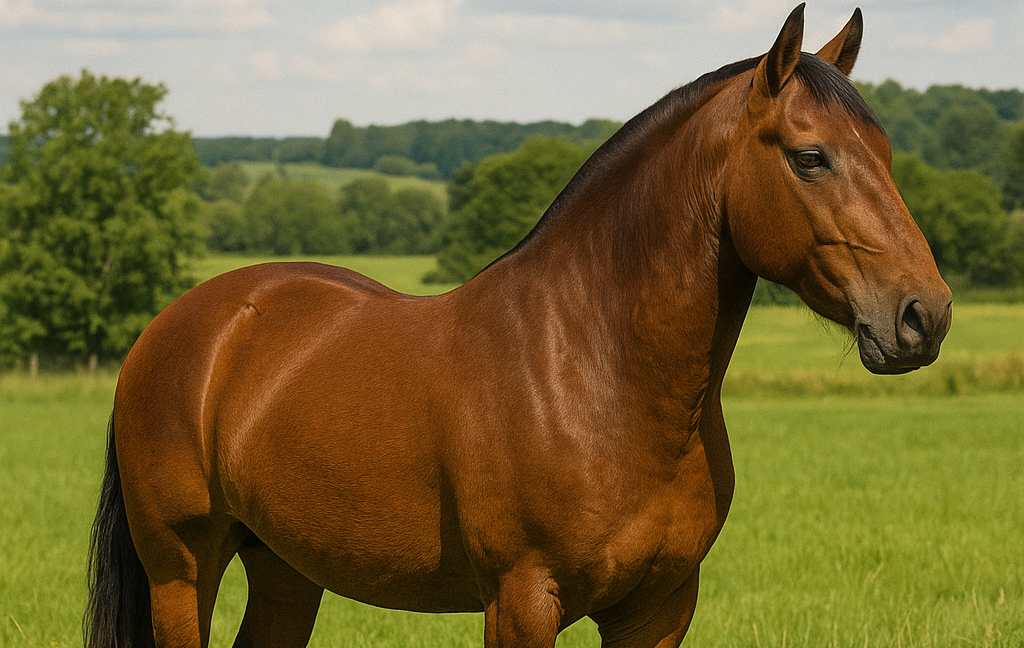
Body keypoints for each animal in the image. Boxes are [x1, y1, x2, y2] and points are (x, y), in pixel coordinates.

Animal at [86, 5, 952, 647]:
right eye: (810, 157)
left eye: (885, 151)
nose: (924, 315)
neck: (596, 371)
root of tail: (180, 327)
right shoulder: (524, 601)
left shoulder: (659, 606)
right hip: (182, 568)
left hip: (286, 569)